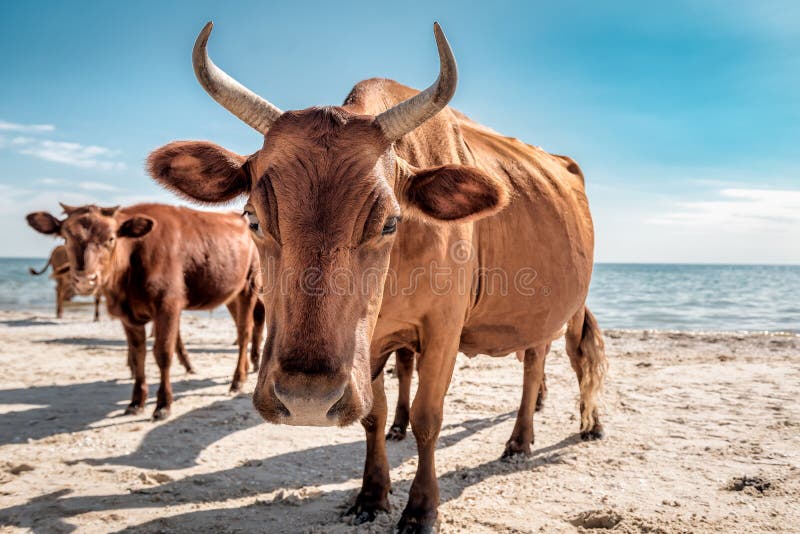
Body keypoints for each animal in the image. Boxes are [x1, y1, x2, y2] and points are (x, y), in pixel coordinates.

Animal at [26, 203, 265, 420]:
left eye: (111, 239)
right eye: (65, 238)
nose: (85, 280)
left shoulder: (168, 305)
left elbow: (163, 354)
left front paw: (163, 404)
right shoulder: (128, 316)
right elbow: (137, 354)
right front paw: (136, 402)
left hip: (249, 287)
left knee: (245, 331)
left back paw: (238, 379)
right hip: (231, 293)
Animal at [146, 22, 608, 532]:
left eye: (390, 222)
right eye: (252, 218)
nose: (307, 399)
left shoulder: (443, 329)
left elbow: (428, 417)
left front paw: (422, 507)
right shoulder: (368, 346)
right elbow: (373, 414)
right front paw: (372, 493)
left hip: (564, 308)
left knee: (552, 360)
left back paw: (539, 435)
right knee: (534, 360)